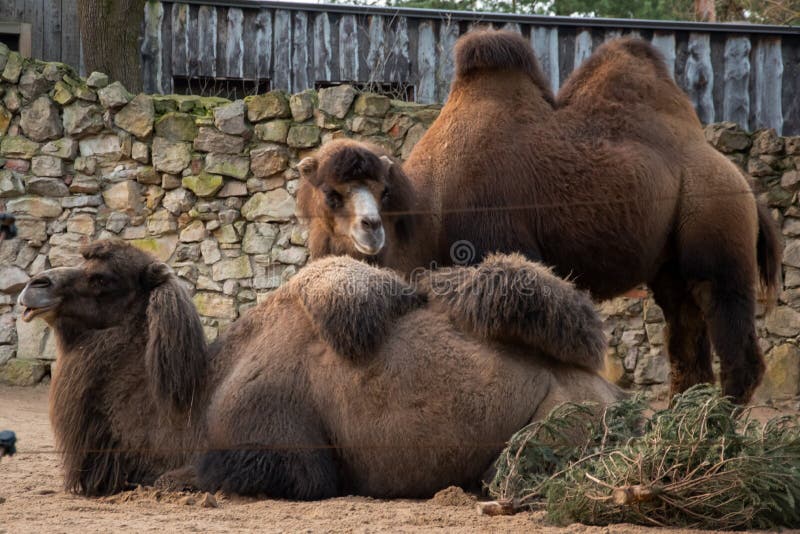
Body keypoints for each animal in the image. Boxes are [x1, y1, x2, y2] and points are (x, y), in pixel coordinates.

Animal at [17, 240, 619, 497]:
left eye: (103, 279)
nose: (34, 284)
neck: (199, 399)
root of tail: (614, 396)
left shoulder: (284, 452)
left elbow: (195, 473)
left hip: (558, 420)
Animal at [295, 30, 782, 404]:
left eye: (381, 191)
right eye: (331, 195)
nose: (371, 228)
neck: (428, 217)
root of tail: (742, 180)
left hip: (718, 227)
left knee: (731, 326)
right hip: (669, 263)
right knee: (685, 329)